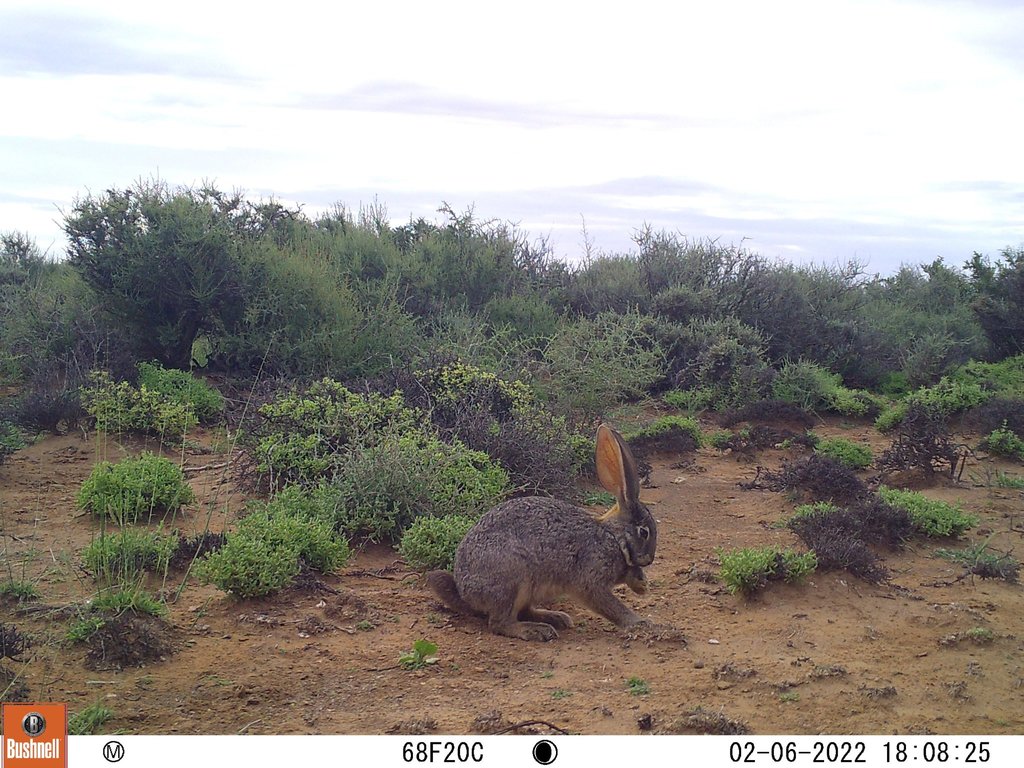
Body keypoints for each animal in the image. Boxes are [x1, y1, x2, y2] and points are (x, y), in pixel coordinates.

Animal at [425, 424, 657, 641]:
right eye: (644, 532)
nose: (648, 560)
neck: (612, 536)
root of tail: (465, 593)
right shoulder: (590, 579)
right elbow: (610, 606)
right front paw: (640, 623)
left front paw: (641, 584)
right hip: (513, 579)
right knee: (500, 623)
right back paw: (537, 630)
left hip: (529, 589)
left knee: (523, 612)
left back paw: (555, 618)